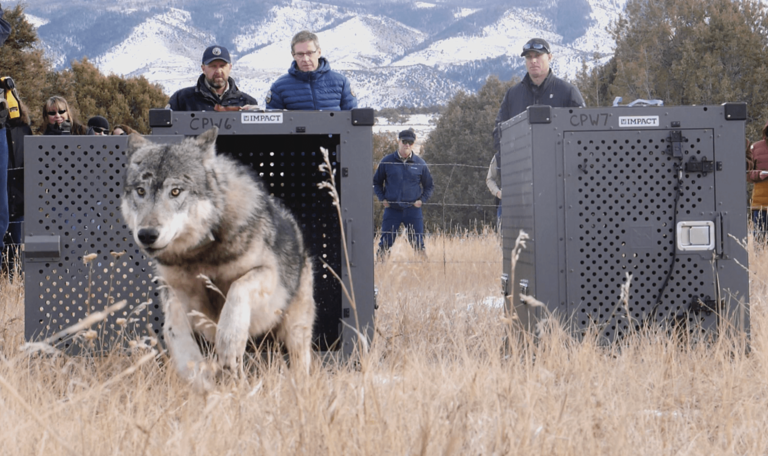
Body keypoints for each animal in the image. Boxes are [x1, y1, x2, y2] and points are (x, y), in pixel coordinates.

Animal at [121, 127, 316, 385]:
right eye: (141, 191)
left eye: (175, 191)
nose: (147, 235)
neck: (200, 256)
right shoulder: (175, 291)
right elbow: (172, 330)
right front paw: (193, 370)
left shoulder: (268, 274)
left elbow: (237, 289)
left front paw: (230, 340)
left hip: (294, 330)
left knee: (300, 361)